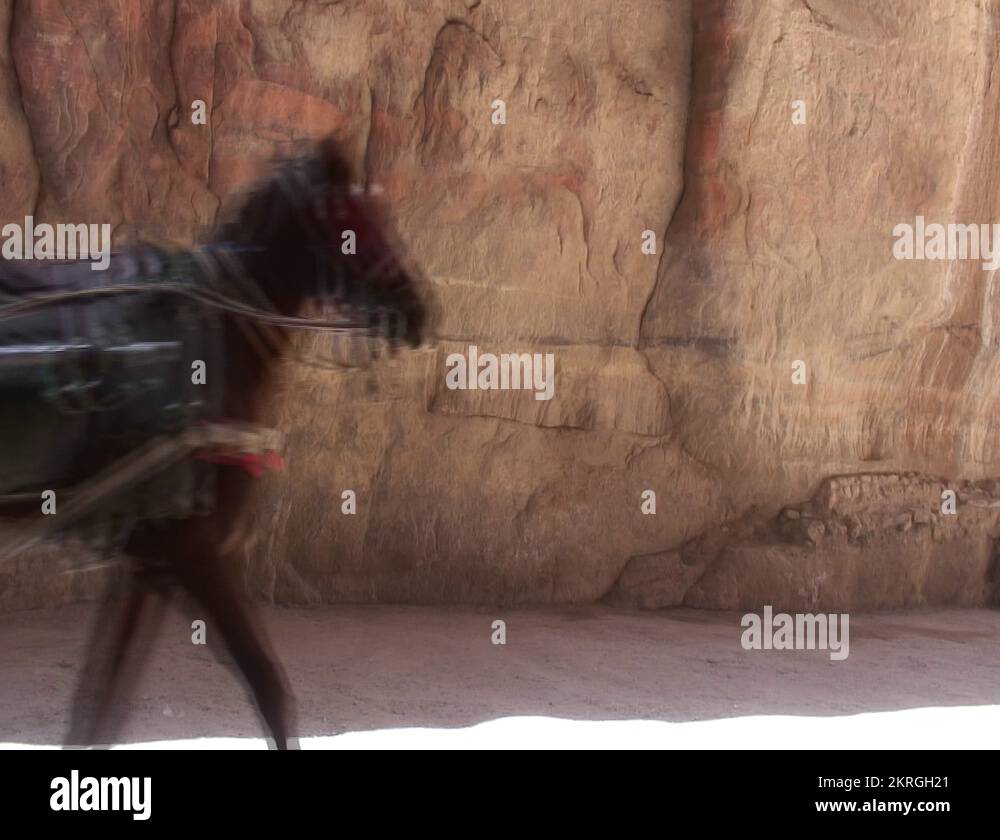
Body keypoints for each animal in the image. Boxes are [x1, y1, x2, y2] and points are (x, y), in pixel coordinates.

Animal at [0, 137, 427, 748]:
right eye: (352, 221)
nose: (417, 310)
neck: (210, 344)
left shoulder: (148, 557)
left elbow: (98, 707)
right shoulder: (195, 553)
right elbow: (269, 689)